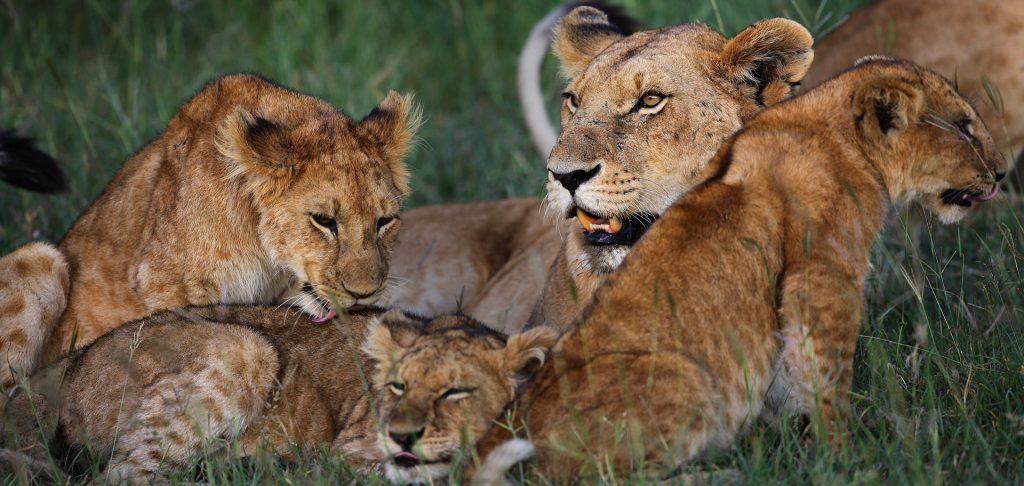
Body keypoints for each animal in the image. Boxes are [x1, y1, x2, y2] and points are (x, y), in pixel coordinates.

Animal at [0, 74, 420, 387]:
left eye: (385, 221)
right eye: (323, 220)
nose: (364, 295)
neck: (266, 258)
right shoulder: (167, 286)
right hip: (41, 258)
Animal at [1, 305, 557, 484]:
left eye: (457, 391)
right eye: (397, 386)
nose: (401, 436)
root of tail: (76, 357)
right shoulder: (351, 452)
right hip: (245, 348)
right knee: (121, 477)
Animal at [473, 58, 1008, 481]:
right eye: (965, 127)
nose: (1003, 173)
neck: (833, 132)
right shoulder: (822, 277)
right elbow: (827, 378)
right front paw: (844, 457)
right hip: (688, 377)